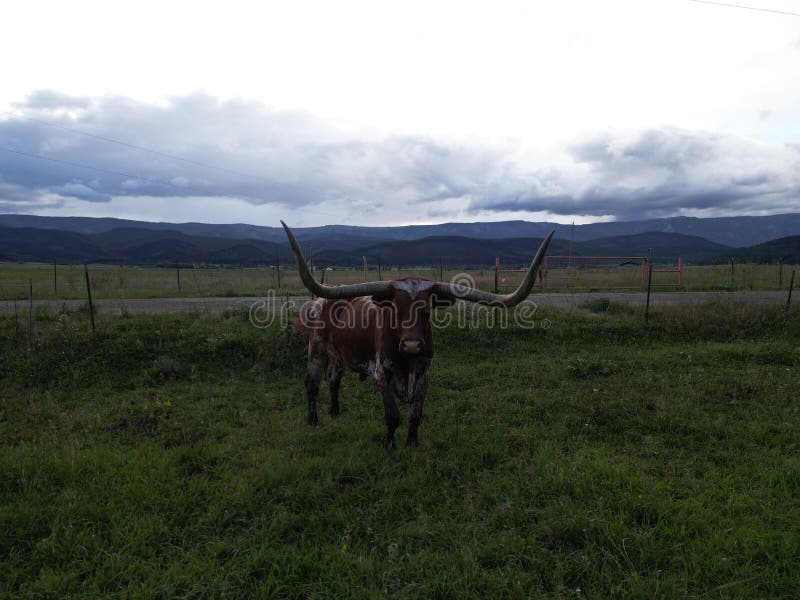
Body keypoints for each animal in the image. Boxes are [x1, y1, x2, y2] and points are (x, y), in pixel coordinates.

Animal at [281, 221, 554, 449]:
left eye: (427, 308)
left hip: (342, 353)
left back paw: (335, 411)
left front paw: (412, 445)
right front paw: (390, 446)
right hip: (316, 349)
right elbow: (393, 416)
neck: (409, 363)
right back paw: (314, 419)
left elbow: (415, 416)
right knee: (312, 383)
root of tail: (324, 296)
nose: (412, 345)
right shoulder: (382, 374)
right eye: (394, 307)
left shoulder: (424, 374)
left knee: (333, 378)